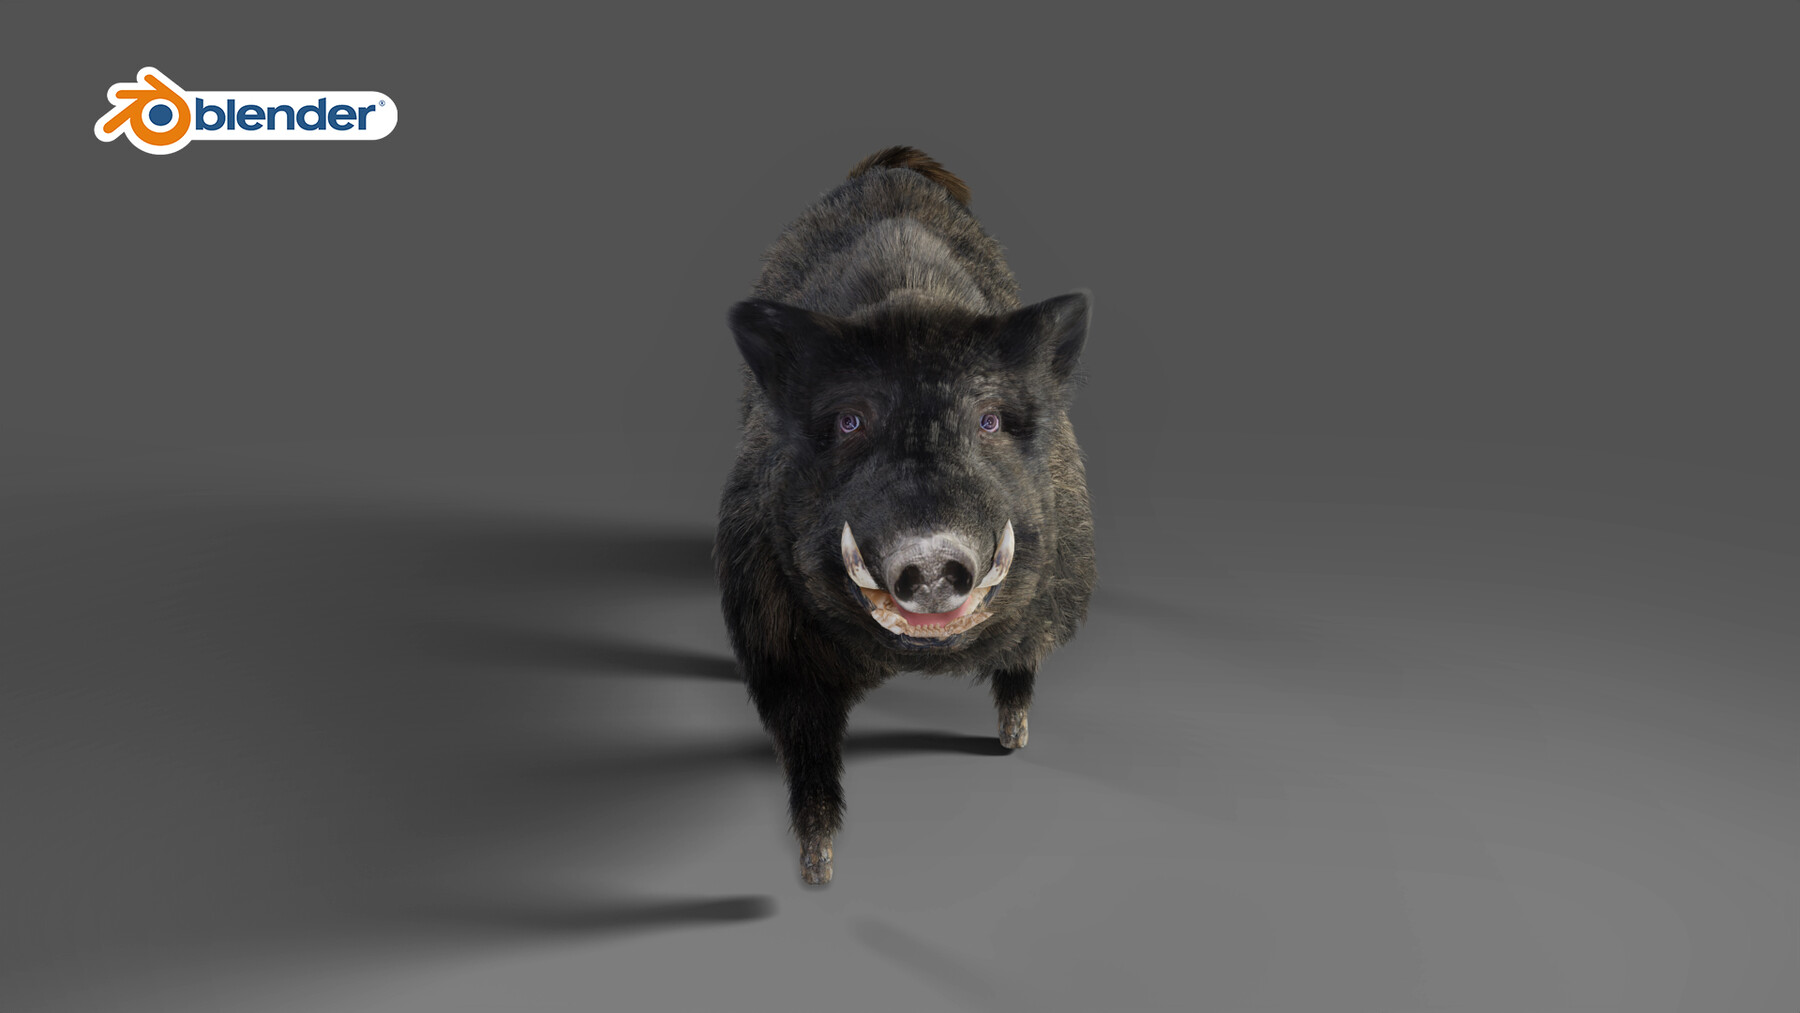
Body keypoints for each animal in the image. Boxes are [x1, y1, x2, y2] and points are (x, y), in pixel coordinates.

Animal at [716, 146, 1095, 884]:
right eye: (849, 421)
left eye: (989, 421)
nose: (930, 554)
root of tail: (889, 164)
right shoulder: (769, 627)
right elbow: (805, 742)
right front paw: (818, 869)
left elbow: (1021, 664)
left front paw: (1011, 741)